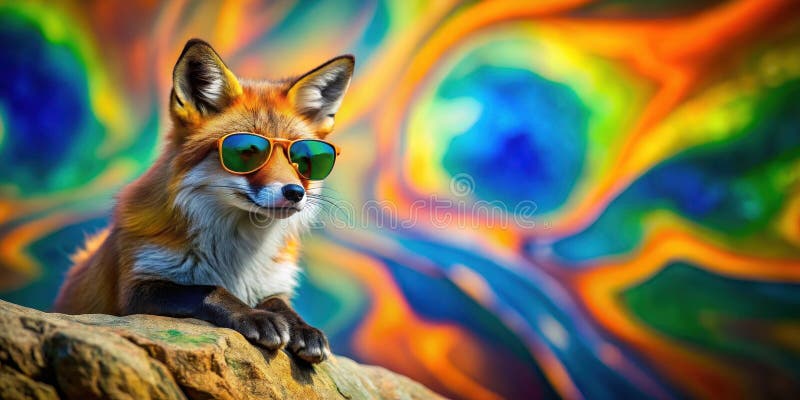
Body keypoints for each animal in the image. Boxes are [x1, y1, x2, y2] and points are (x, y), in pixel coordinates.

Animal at [53, 39, 354, 364]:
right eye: (247, 151)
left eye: (304, 159)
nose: (295, 192)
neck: (236, 259)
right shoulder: (135, 291)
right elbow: (208, 290)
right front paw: (253, 316)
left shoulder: (272, 283)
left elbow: (282, 305)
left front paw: (303, 328)